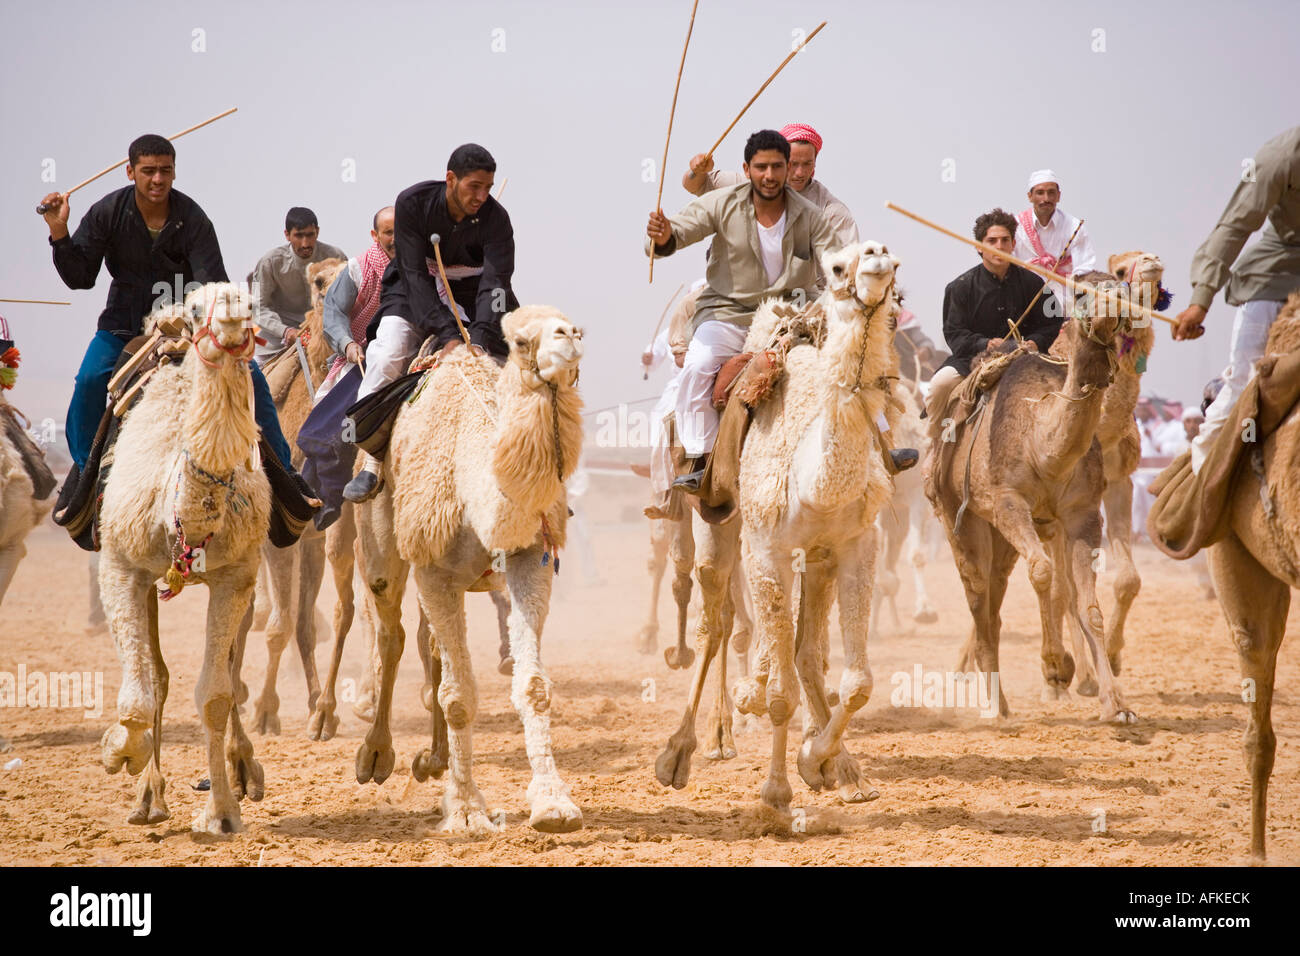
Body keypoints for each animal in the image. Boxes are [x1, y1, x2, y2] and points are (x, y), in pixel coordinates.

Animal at [97, 282, 270, 832]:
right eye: (197, 307)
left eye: (251, 304)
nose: (232, 318)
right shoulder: (120, 566)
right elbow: (141, 693)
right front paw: (120, 753)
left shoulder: (236, 575)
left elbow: (215, 695)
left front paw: (222, 815)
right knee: (158, 674)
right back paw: (149, 798)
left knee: (232, 669)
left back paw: (242, 770)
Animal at [355, 305, 585, 835]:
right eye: (519, 340)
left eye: (570, 324)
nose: (569, 337)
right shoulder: (433, 568)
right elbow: (458, 697)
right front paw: (464, 810)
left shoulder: (529, 560)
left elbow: (533, 687)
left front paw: (553, 804)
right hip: (381, 544)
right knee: (392, 634)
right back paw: (375, 755)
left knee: (430, 644)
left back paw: (433, 760)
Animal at [656, 241, 903, 810]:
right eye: (837, 266)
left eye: (893, 258)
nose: (877, 257)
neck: (814, 477)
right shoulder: (767, 548)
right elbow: (779, 693)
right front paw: (774, 794)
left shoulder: (854, 545)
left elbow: (856, 681)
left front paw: (820, 762)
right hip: (716, 518)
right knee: (715, 619)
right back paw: (686, 750)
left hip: (813, 557)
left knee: (806, 651)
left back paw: (840, 767)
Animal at [926, 272, 1137, 724]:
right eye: (1081, 291)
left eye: (1122, 288)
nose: (1111, 309)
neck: (1045, 446)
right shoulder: (1009, 502)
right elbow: (1042, 573)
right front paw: (1059, 672)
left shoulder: (1082, 514)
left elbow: (1090, 607)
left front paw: (1117, 706)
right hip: (959, 515)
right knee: (977, 591)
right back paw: (993, 705)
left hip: (998, 534)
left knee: (994, 594)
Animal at [1049, 251, 1165, 696]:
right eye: (1119, 269)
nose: (1152, 261)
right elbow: (1067, 588)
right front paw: (1084, 676)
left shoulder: (1120, 481)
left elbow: (1127, 579)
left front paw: (1113, 658)